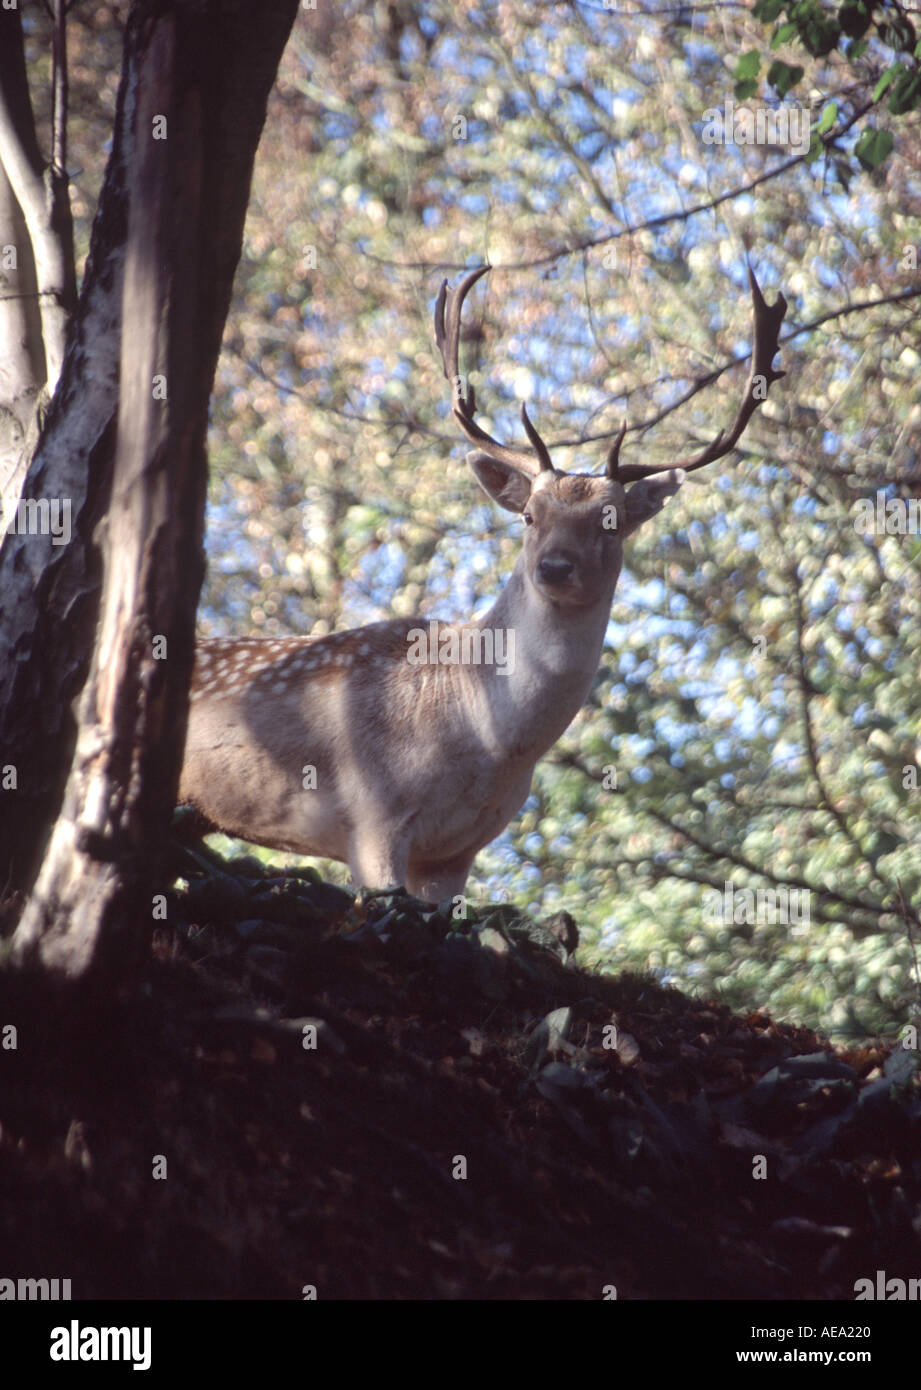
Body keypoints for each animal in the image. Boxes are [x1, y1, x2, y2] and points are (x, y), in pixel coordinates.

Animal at [179, 265, 786, 902]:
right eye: (529, 517)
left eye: (611, 521)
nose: (555, 567)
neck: (487, 741)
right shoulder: (371, 818)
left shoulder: (458, 850)